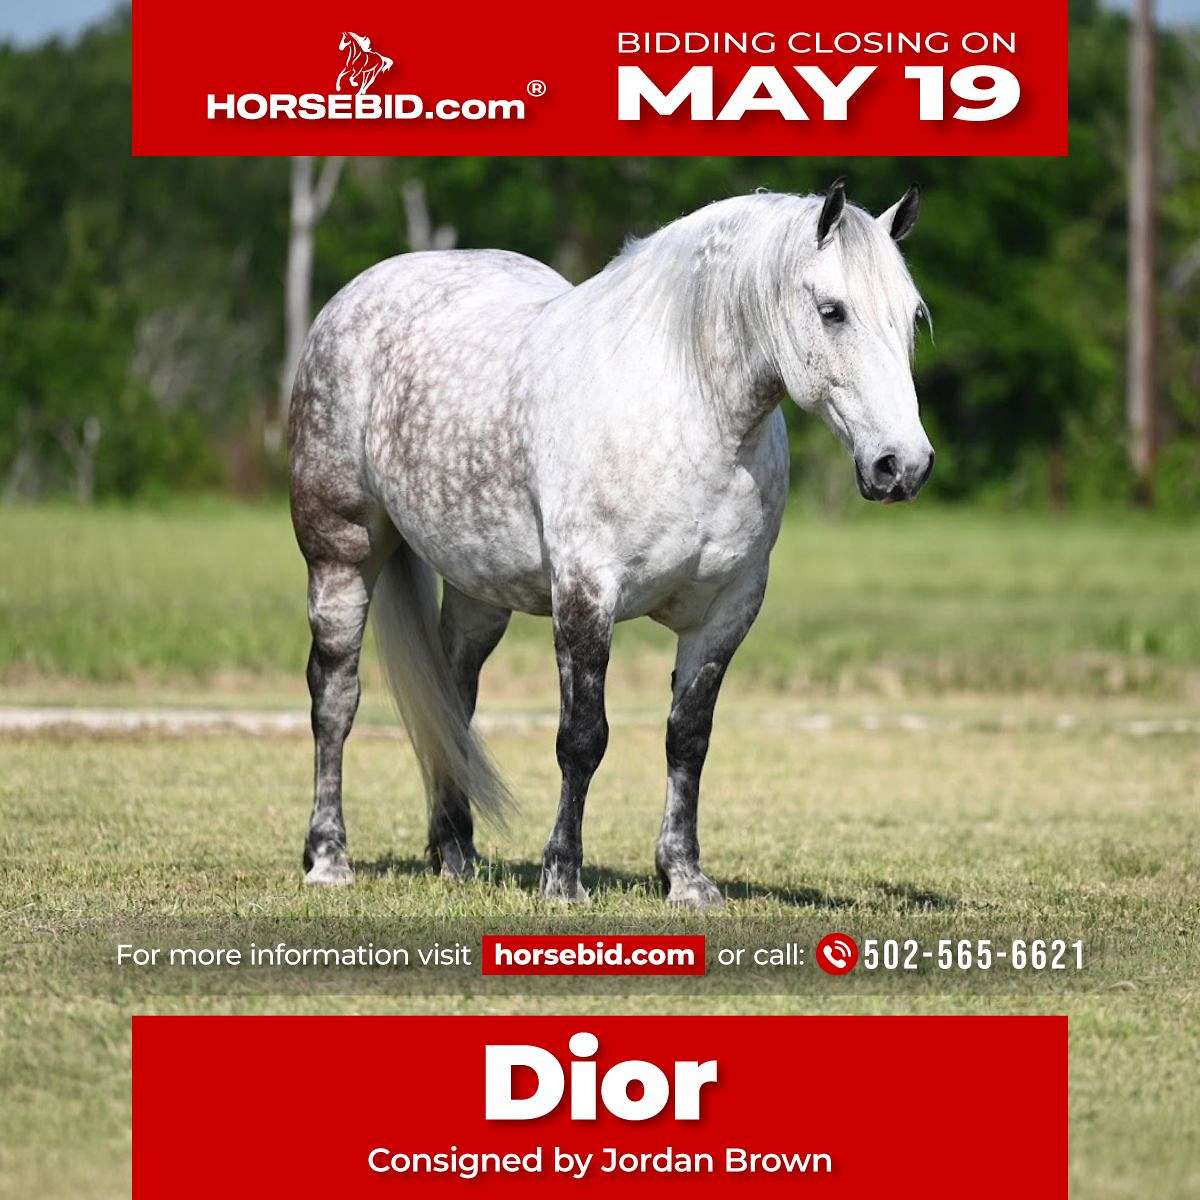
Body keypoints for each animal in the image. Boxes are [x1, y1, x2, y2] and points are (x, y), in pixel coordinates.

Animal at [288, 181, 932, 907]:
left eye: (912, 316)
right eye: (832, 311)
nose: (902, 465)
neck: (690, 410)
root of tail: (354, 298)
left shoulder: (727, 611)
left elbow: (688, 738)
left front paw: (684, 876)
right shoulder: (587, 593)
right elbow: (583, 738)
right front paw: (562, 876)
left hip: (480, 591)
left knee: (453, 702)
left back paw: (455, 853)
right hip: (341, 557)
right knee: (335, 698)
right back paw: (328, 858)